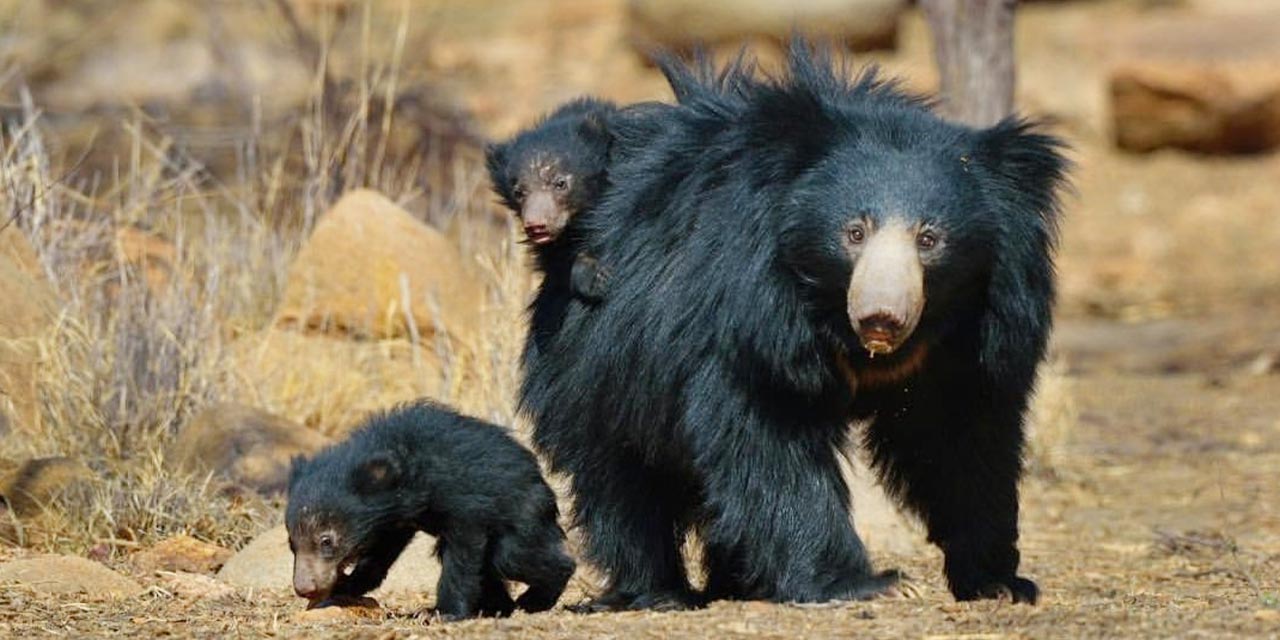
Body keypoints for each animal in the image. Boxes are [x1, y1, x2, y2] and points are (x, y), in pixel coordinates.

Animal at [286, 400, 576, 620]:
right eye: (292, 544)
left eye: (326, 540)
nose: (305, 589)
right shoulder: (393, 520)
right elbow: (381, 552)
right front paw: (347, 585)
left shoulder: (461, 498)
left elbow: (463, 550)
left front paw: (442, 613)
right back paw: (497, 608)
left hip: (524, 512)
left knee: (513, 556)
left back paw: (535, 598)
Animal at [519, 41, 1069, 610]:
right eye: (854, 232)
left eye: (929, 239)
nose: (881, 316)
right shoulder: (750, 312)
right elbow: (768, 431)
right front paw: (863, 582)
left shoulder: (976, 333)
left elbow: (961, 439)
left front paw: (999, 582)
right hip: (597, 358)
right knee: (620, 475)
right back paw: (659, 589)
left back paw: (738, 582)